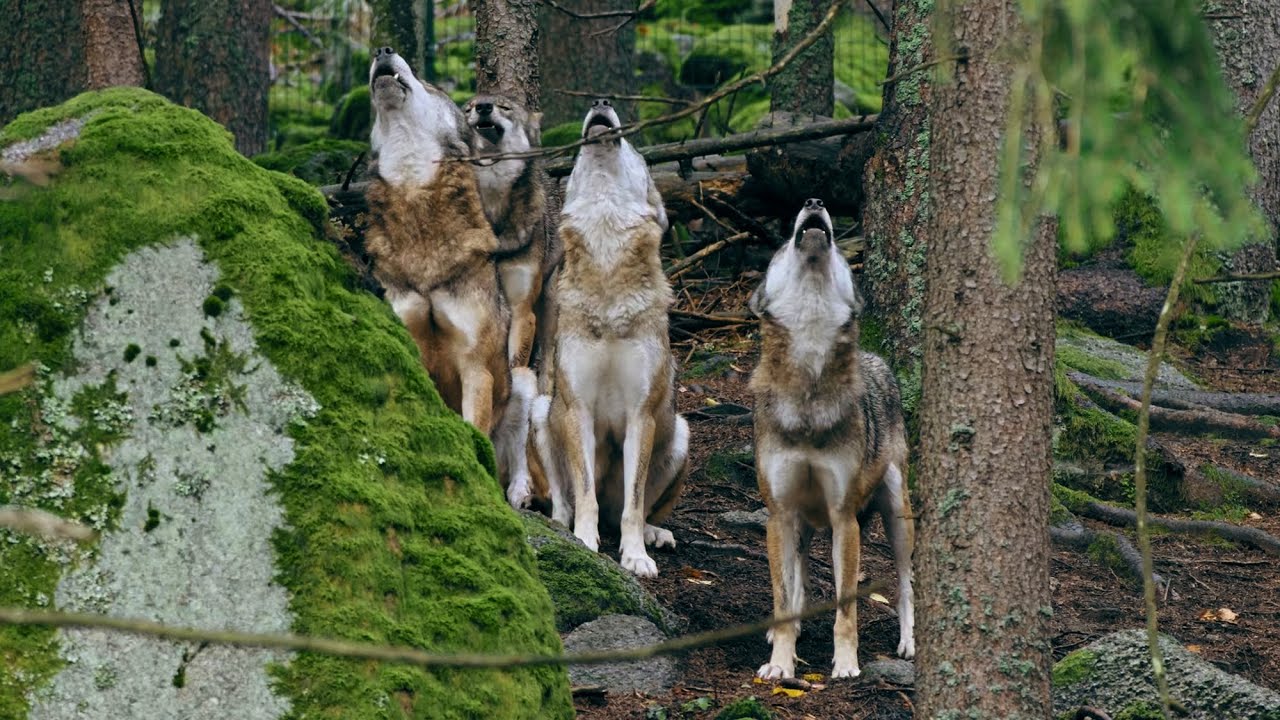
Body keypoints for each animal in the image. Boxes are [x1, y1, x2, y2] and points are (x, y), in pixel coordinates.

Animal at [531, 99, 687, 577]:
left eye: (634, 148)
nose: (601, 102)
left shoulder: (642, 416)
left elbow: (633, 505)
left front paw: (635, 556)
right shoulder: (576, 409)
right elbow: (585, 494)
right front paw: (584, 541)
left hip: (680, 433)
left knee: (635, 509)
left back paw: (655, 534)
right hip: (543, 412)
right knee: (562, 498)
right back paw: (561, 526)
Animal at [748, 198, 915, 680]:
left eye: (838, 252)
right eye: (783, 246)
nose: (814, 202)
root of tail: (878, 360)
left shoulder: (844, 519)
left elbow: (846, 609)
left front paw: (845, 664)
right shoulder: (780, 515)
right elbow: (784, 599)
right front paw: (780, 665)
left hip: (898, 516)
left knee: (906, 583)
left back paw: (909, 643)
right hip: (802, 525)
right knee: (800, 580)